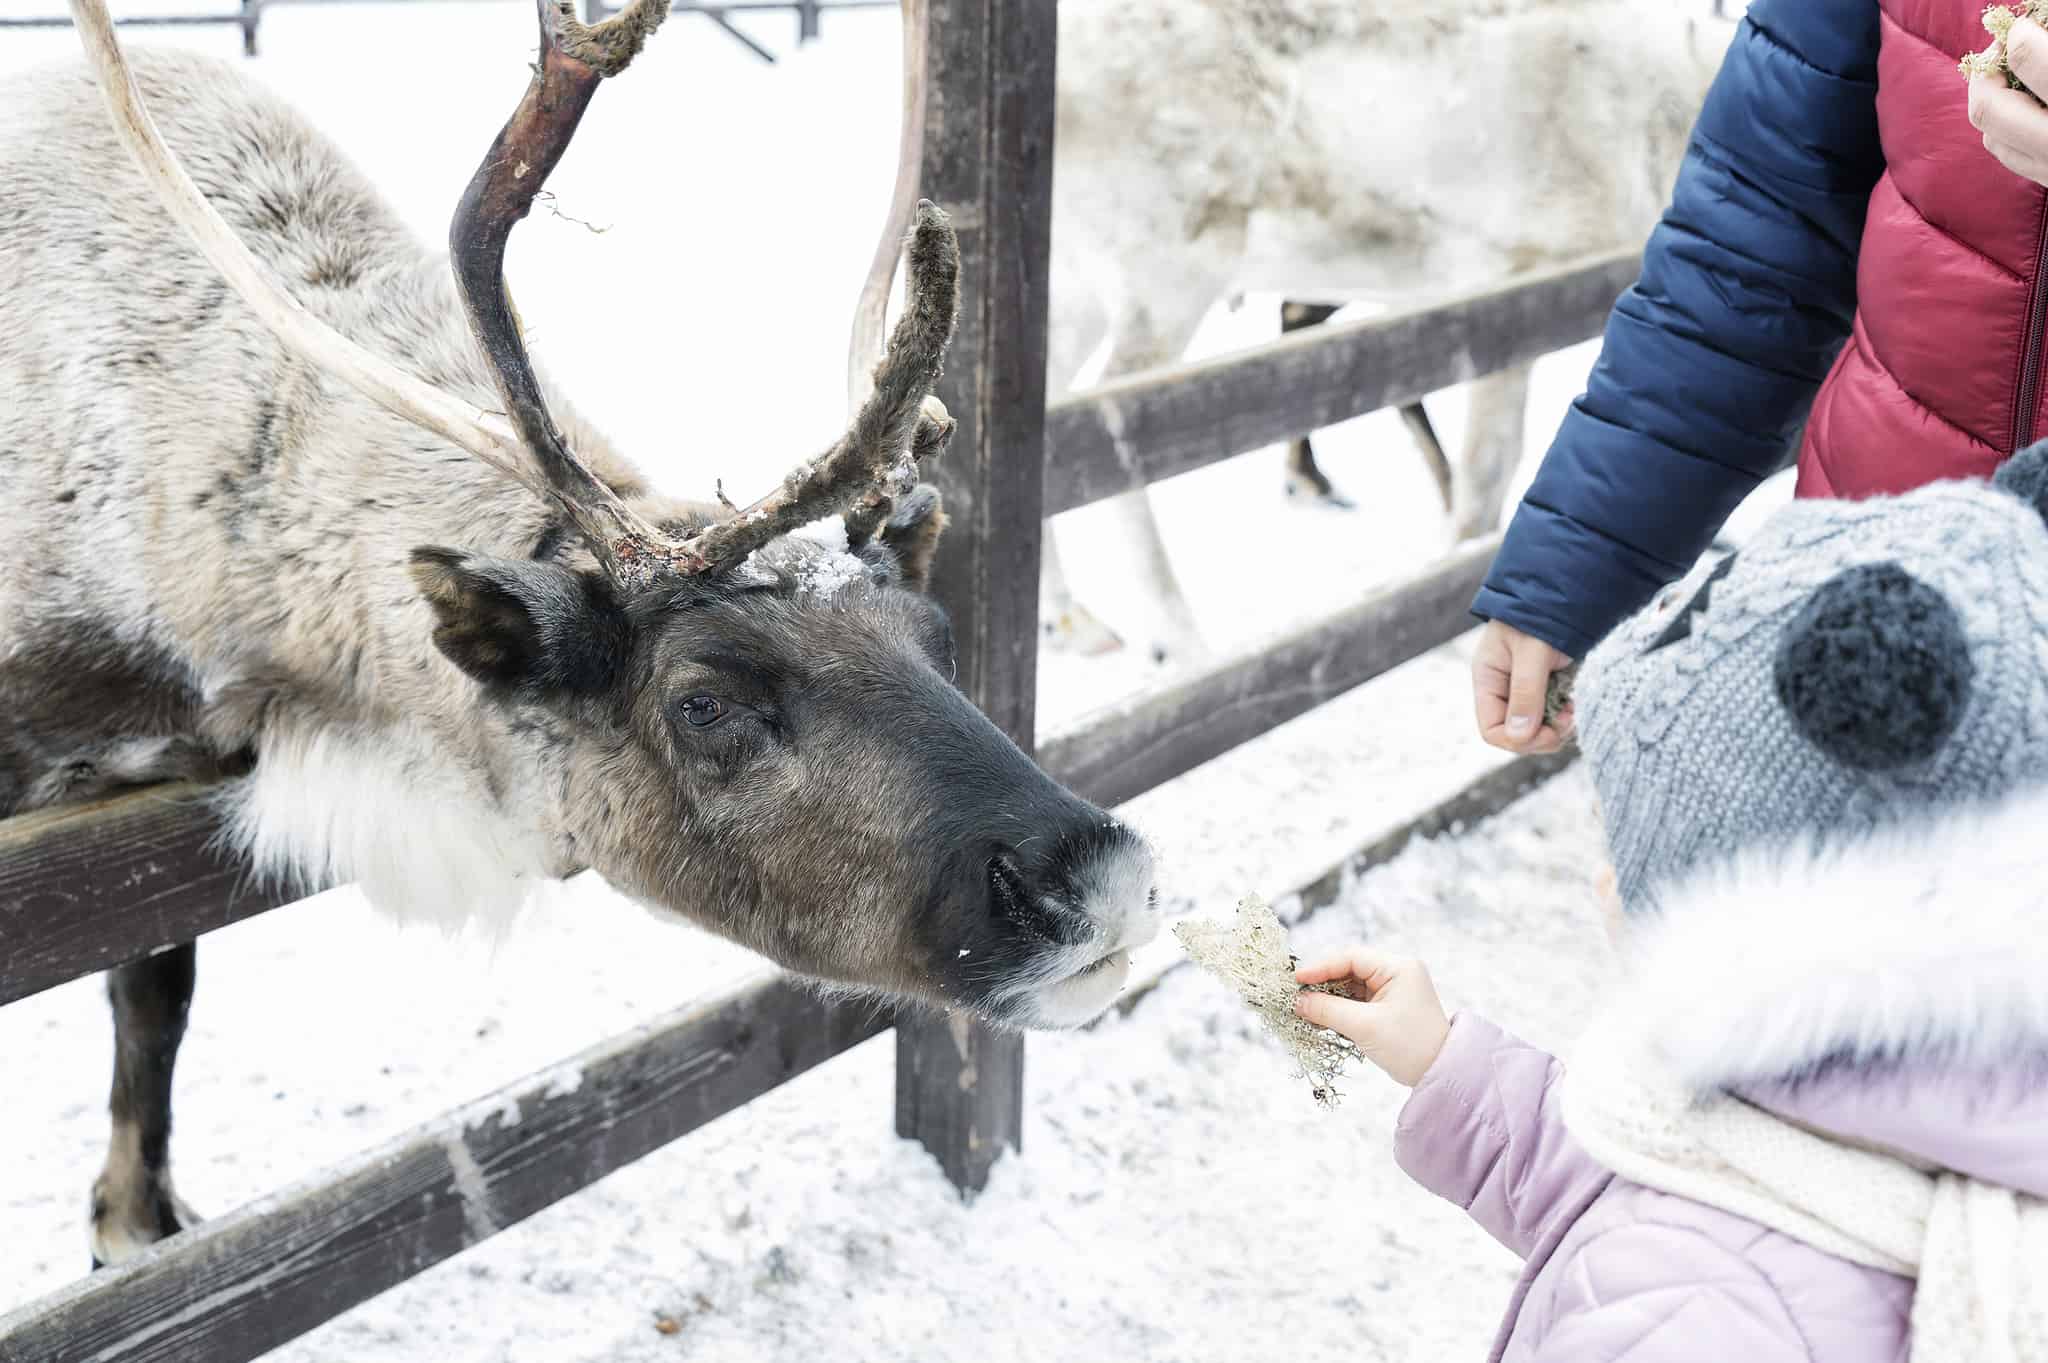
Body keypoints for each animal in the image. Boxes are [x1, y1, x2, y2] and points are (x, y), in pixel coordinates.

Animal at [3, 0, 1161, 1268]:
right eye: (702, 701)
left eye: (937, 633)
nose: (1094, 877)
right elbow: (144, 983)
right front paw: (130, 1222)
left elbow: (156, 988)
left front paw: (133, 1217)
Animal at [929, 0, 1735, 663]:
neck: (1666, 120)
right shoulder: (1517, 282)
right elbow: (1487, 475)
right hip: (1169, 271)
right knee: (1115, 425)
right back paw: (1178, 637)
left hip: (1077, 284)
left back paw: (1071, 619)